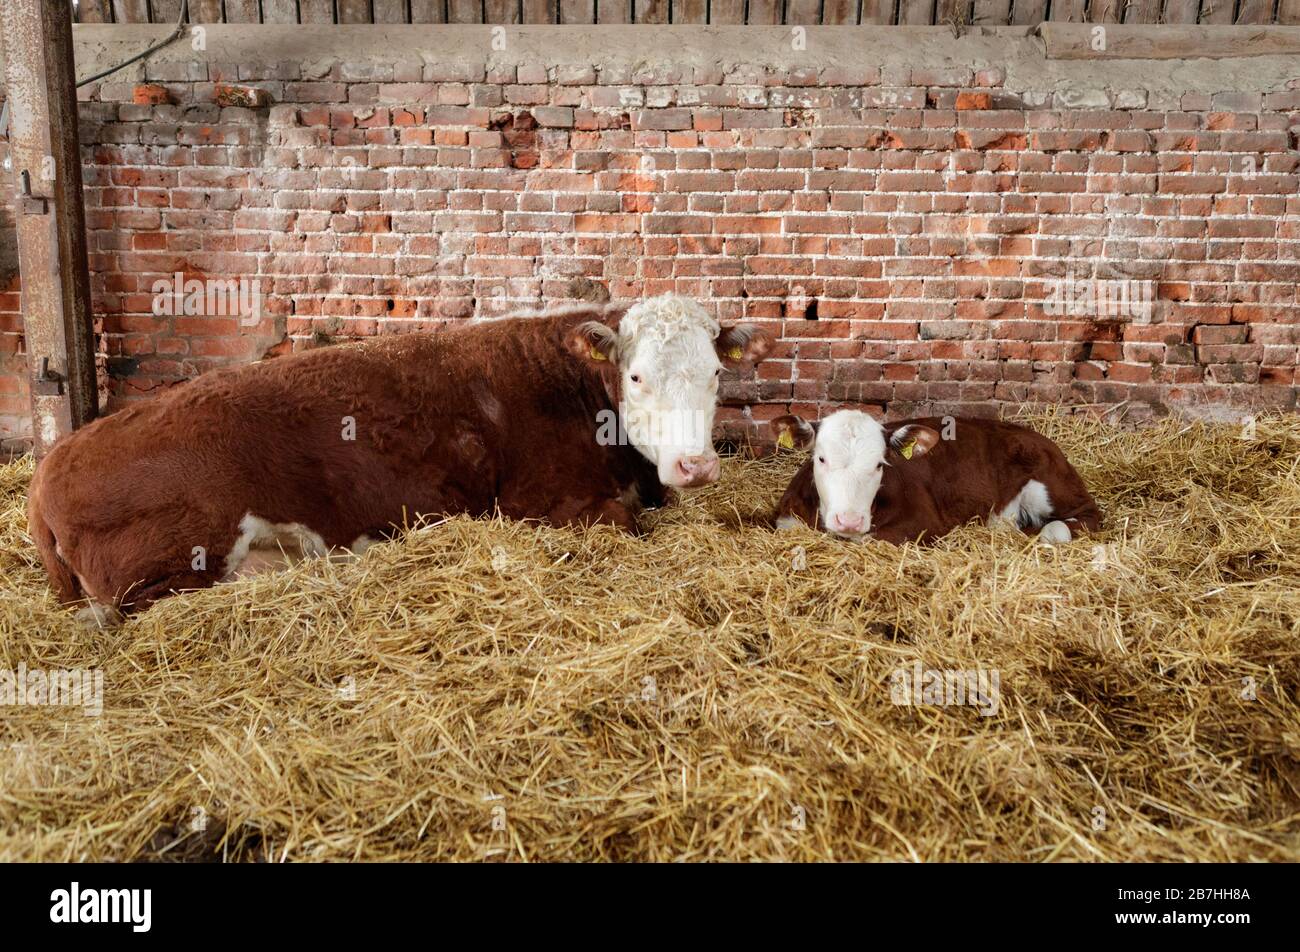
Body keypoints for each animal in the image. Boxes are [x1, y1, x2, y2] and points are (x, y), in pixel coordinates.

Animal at [27, 294, 770, 622]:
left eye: (714, 373)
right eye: (637, 376)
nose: (696, 466)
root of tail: (51, 468)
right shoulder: (539, 505)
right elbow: (628, 525)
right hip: (174, 561)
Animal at [771, 410, 1101, 545]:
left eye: (879, 465)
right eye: (821, 458)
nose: (849, 521)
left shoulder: (924, 522)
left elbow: (872, 540)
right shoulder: (787, 518)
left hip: (1052, 487)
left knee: (1081, 518)